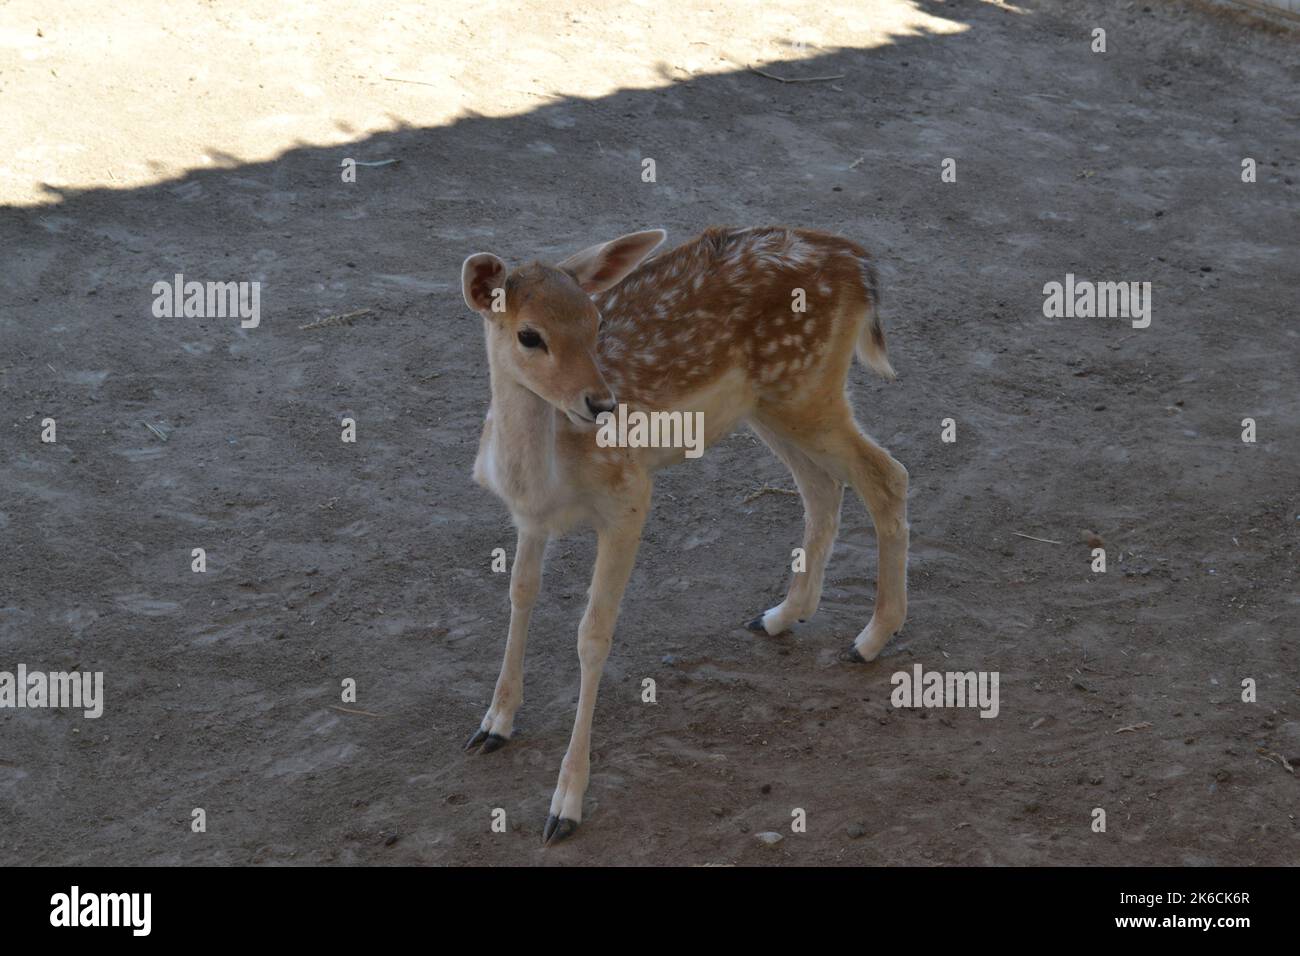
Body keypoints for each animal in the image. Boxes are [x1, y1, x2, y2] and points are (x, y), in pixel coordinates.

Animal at [459, 226, 909, 845]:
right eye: (529, 334)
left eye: (596, 322)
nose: (602, 404)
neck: (543, 476)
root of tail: (860, 266)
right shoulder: (528, 518)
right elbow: (520, 595)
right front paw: (494, 724)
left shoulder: (629, 497)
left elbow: (592, 634)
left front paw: (565, 804)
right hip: (772, 403)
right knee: (823, 489)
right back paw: (780, 616)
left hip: (807, 388)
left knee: (886, 475)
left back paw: (870, 638)